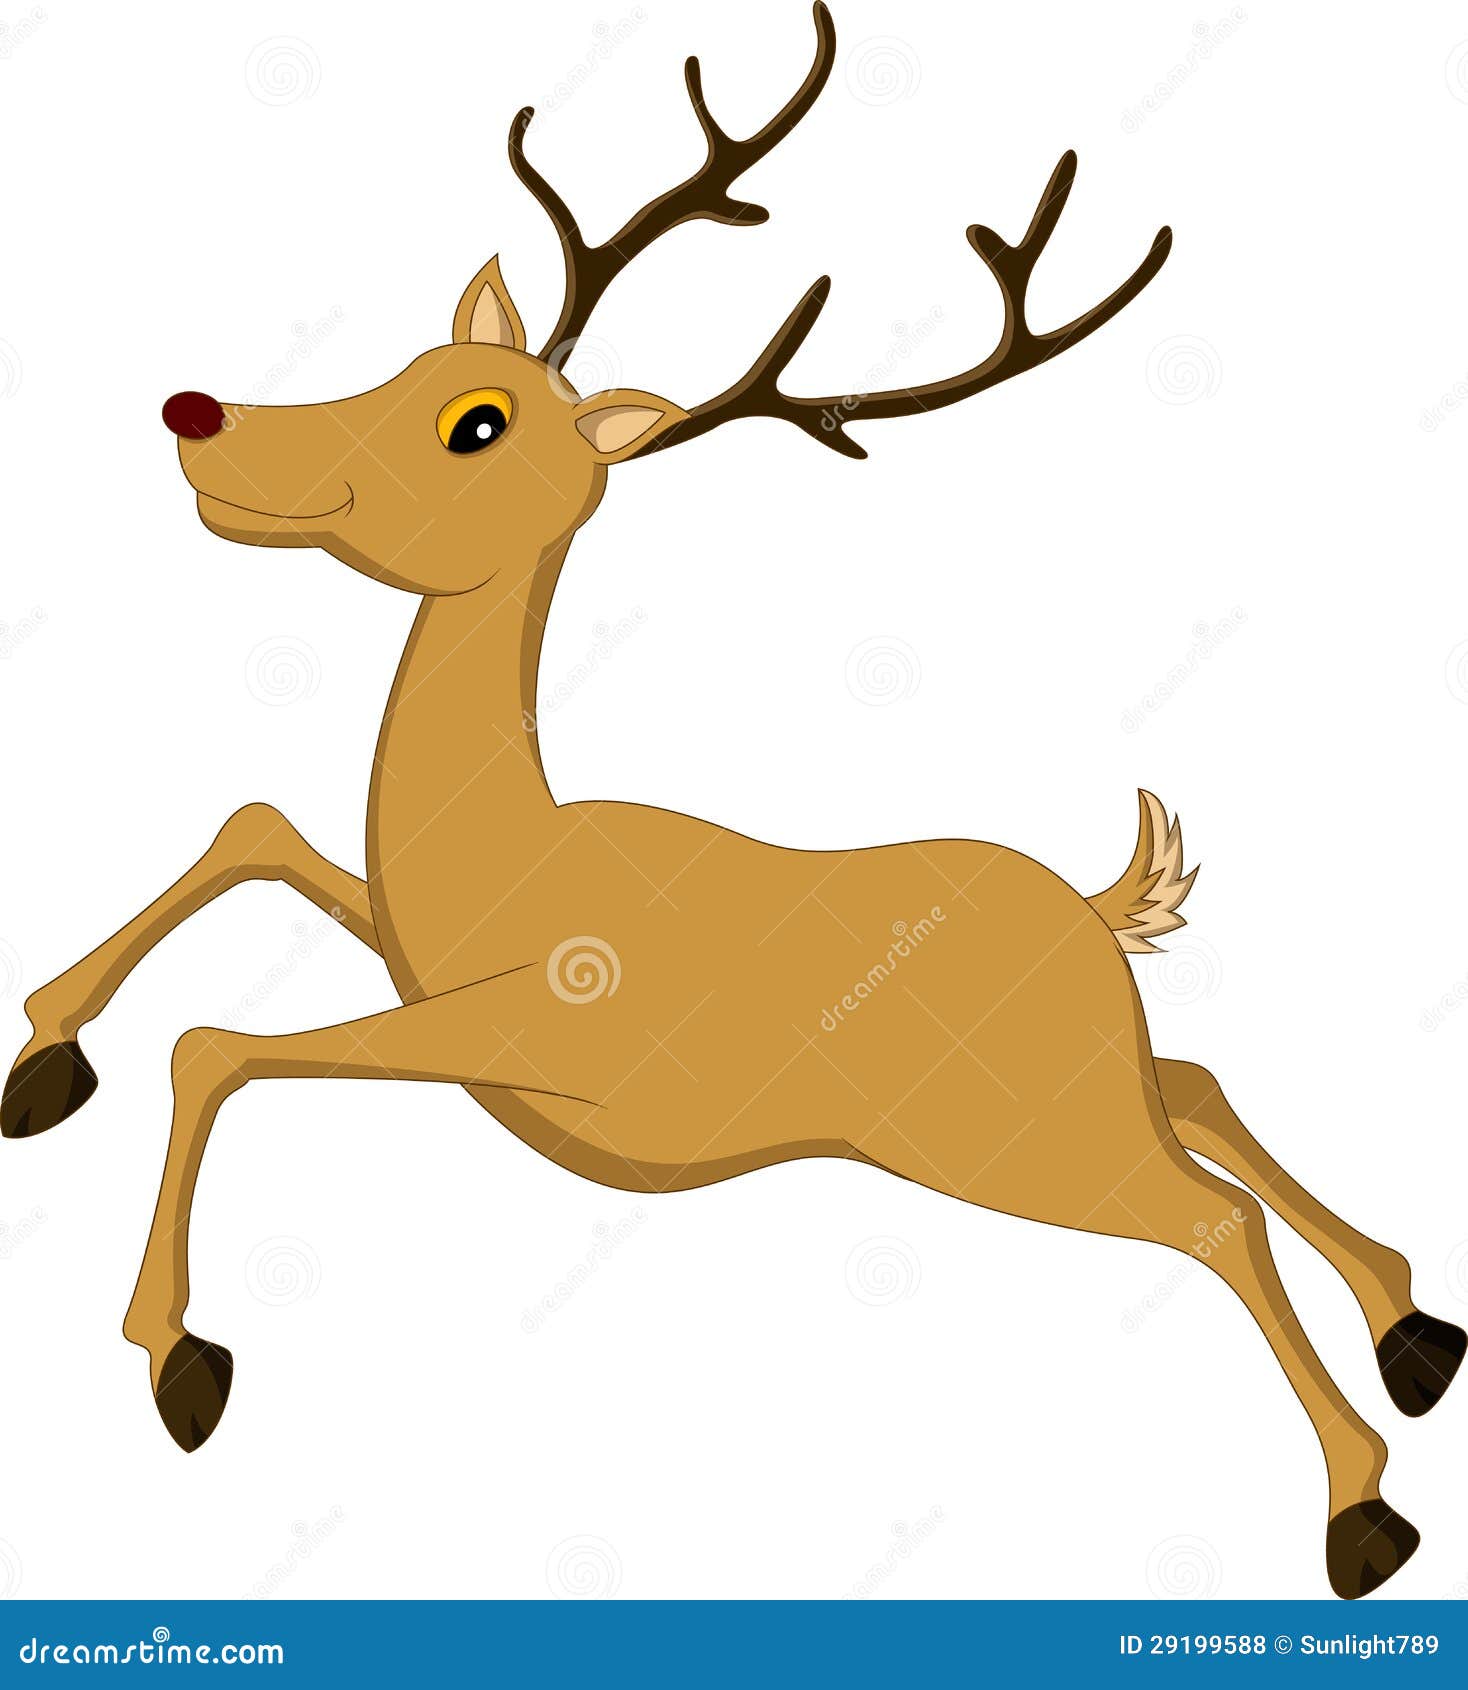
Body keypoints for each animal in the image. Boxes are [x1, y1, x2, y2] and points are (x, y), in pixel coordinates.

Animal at [3, 4, 1461, 1601]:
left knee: (1211, 1214)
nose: (196, 413)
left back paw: (1365, 1512)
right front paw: (40, 1060)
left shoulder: (534, 1033)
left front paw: (180, 1360)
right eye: (410, 359)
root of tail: (1092, 910)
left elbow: (216, 1047)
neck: (508, 861)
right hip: (1072, 1101)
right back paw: (1417, 1332)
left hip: (1007, 1145)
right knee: (1194, 1082)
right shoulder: (407, 947)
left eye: (475, 422)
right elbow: (253, 830)